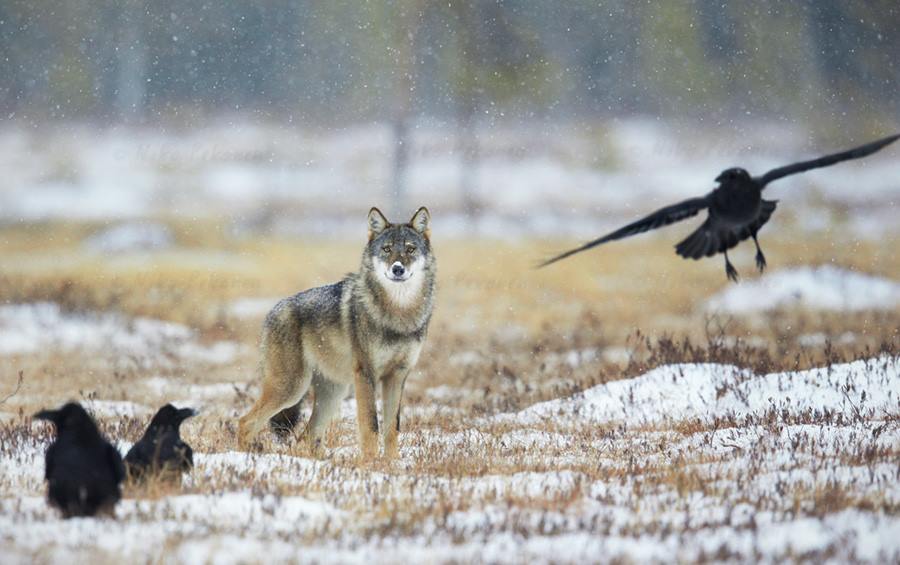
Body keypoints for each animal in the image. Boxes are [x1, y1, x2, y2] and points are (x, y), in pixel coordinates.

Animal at [238, 207, 435, 460]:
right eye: (387, 249)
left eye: (410, 249)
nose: (398, 269)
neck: (398, 315)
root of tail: (272, 310)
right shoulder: (365, 374)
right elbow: (371, 425)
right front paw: (370, 463)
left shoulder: (398, 375)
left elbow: (392, 427)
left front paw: (392, 464)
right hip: (292, 389)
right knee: (245, 422)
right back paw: (245, 457)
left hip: (332, 393)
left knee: (306, 435)